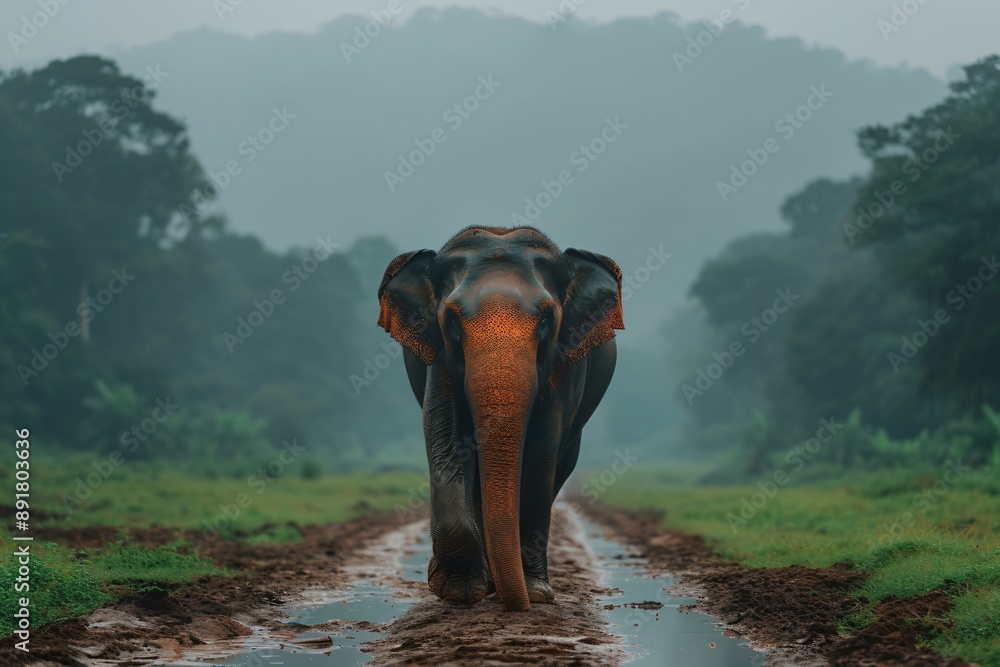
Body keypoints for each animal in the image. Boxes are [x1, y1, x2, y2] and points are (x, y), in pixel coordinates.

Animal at [376, 225, 623, 611]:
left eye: (546, 320)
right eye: (452, 321)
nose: (518, 606)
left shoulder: (566, 361)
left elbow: (539, 453)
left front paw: (535, 594)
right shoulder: (438, 355)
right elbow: (445, 436)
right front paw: (458, 591)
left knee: (558, 465)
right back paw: (490, 584)